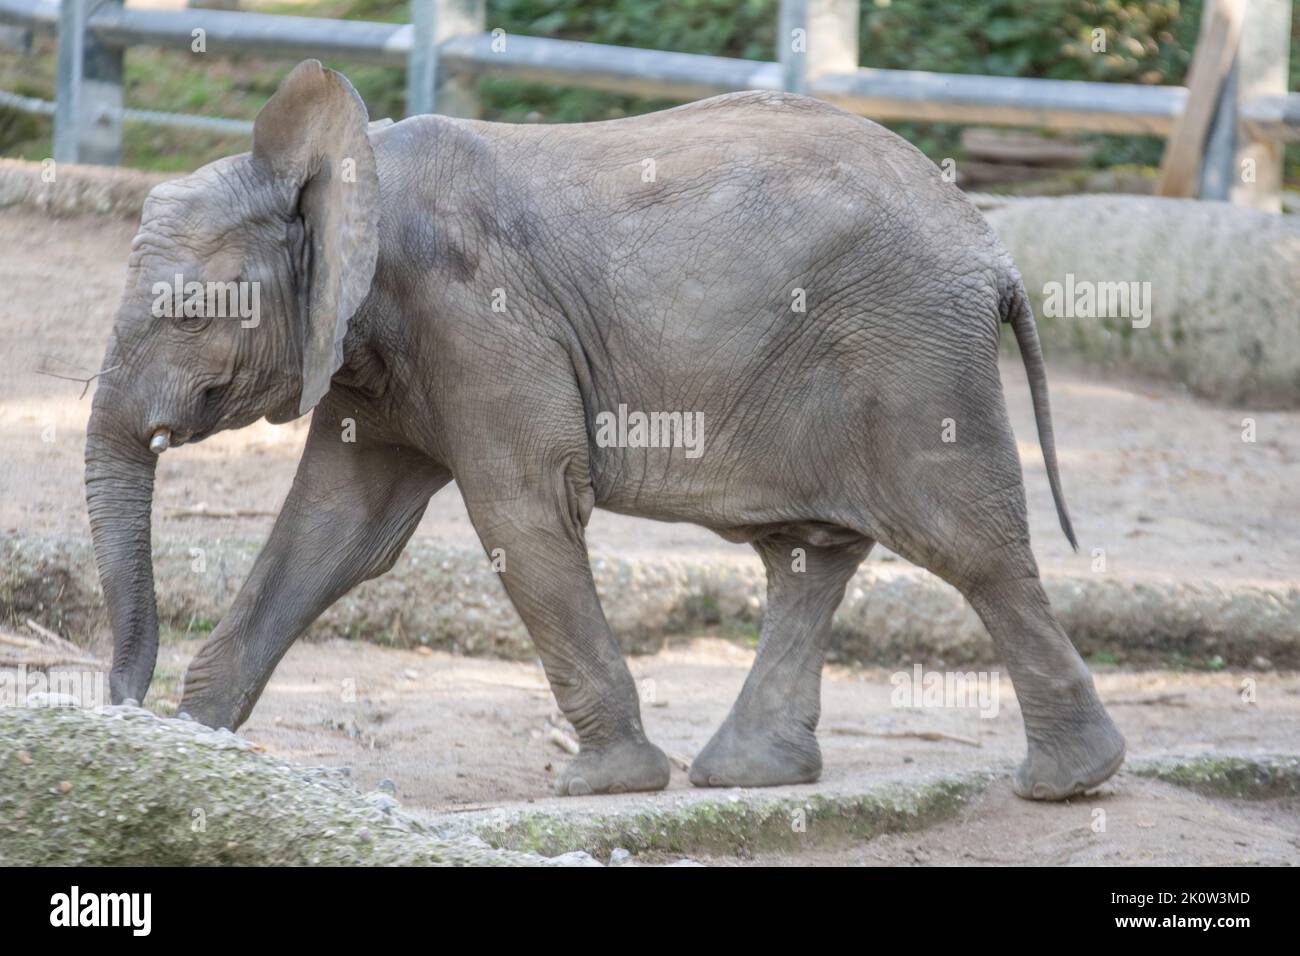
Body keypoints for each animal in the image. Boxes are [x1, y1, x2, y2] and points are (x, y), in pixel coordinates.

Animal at [85, 60, 1125, 801]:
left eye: (187, 312)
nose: (121, 711)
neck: (353, 164)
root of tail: (992, 245)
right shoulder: (372, 344)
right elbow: (336, 531)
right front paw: (194, 745)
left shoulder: (474, 315)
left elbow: (523, 513)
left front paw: (605, 783)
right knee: (811, 554)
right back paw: (751, 775)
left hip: (910, 352)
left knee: (966, 545)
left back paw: (1070, 781)